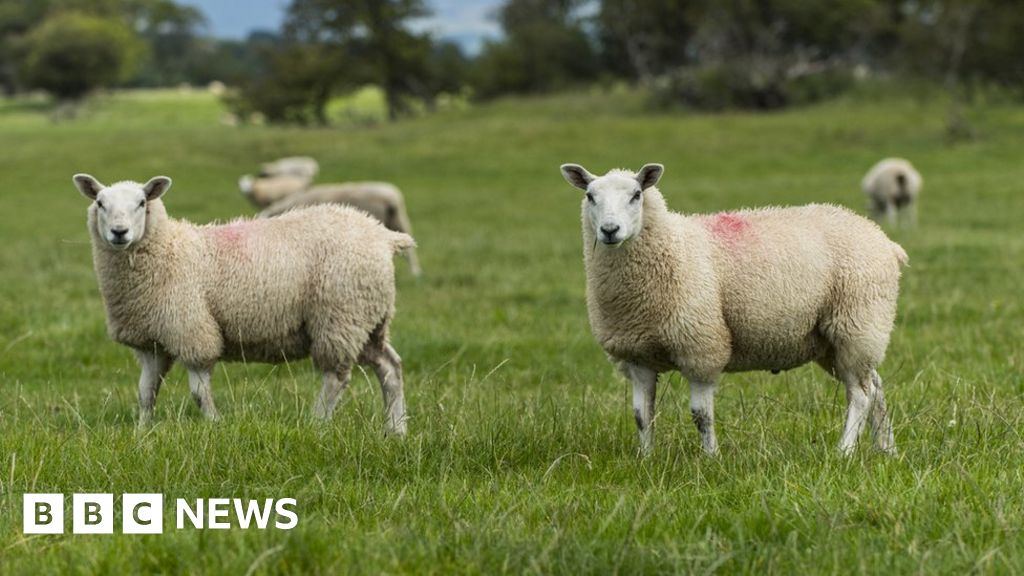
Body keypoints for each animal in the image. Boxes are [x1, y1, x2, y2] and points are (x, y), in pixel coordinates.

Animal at [559, 163, 908, 456]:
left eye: (636, 195)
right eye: (590, 196)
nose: (609, 230)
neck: (672, 245)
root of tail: (884, 240)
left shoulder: (701, 347)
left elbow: (701, 415)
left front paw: (711, 458)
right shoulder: (637, 356)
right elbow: (641, 416)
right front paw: (645, 460)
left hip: (858, 325)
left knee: (860, 395)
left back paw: (844, 451)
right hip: (833, 342)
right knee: (875, 386)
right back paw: (887, 449)